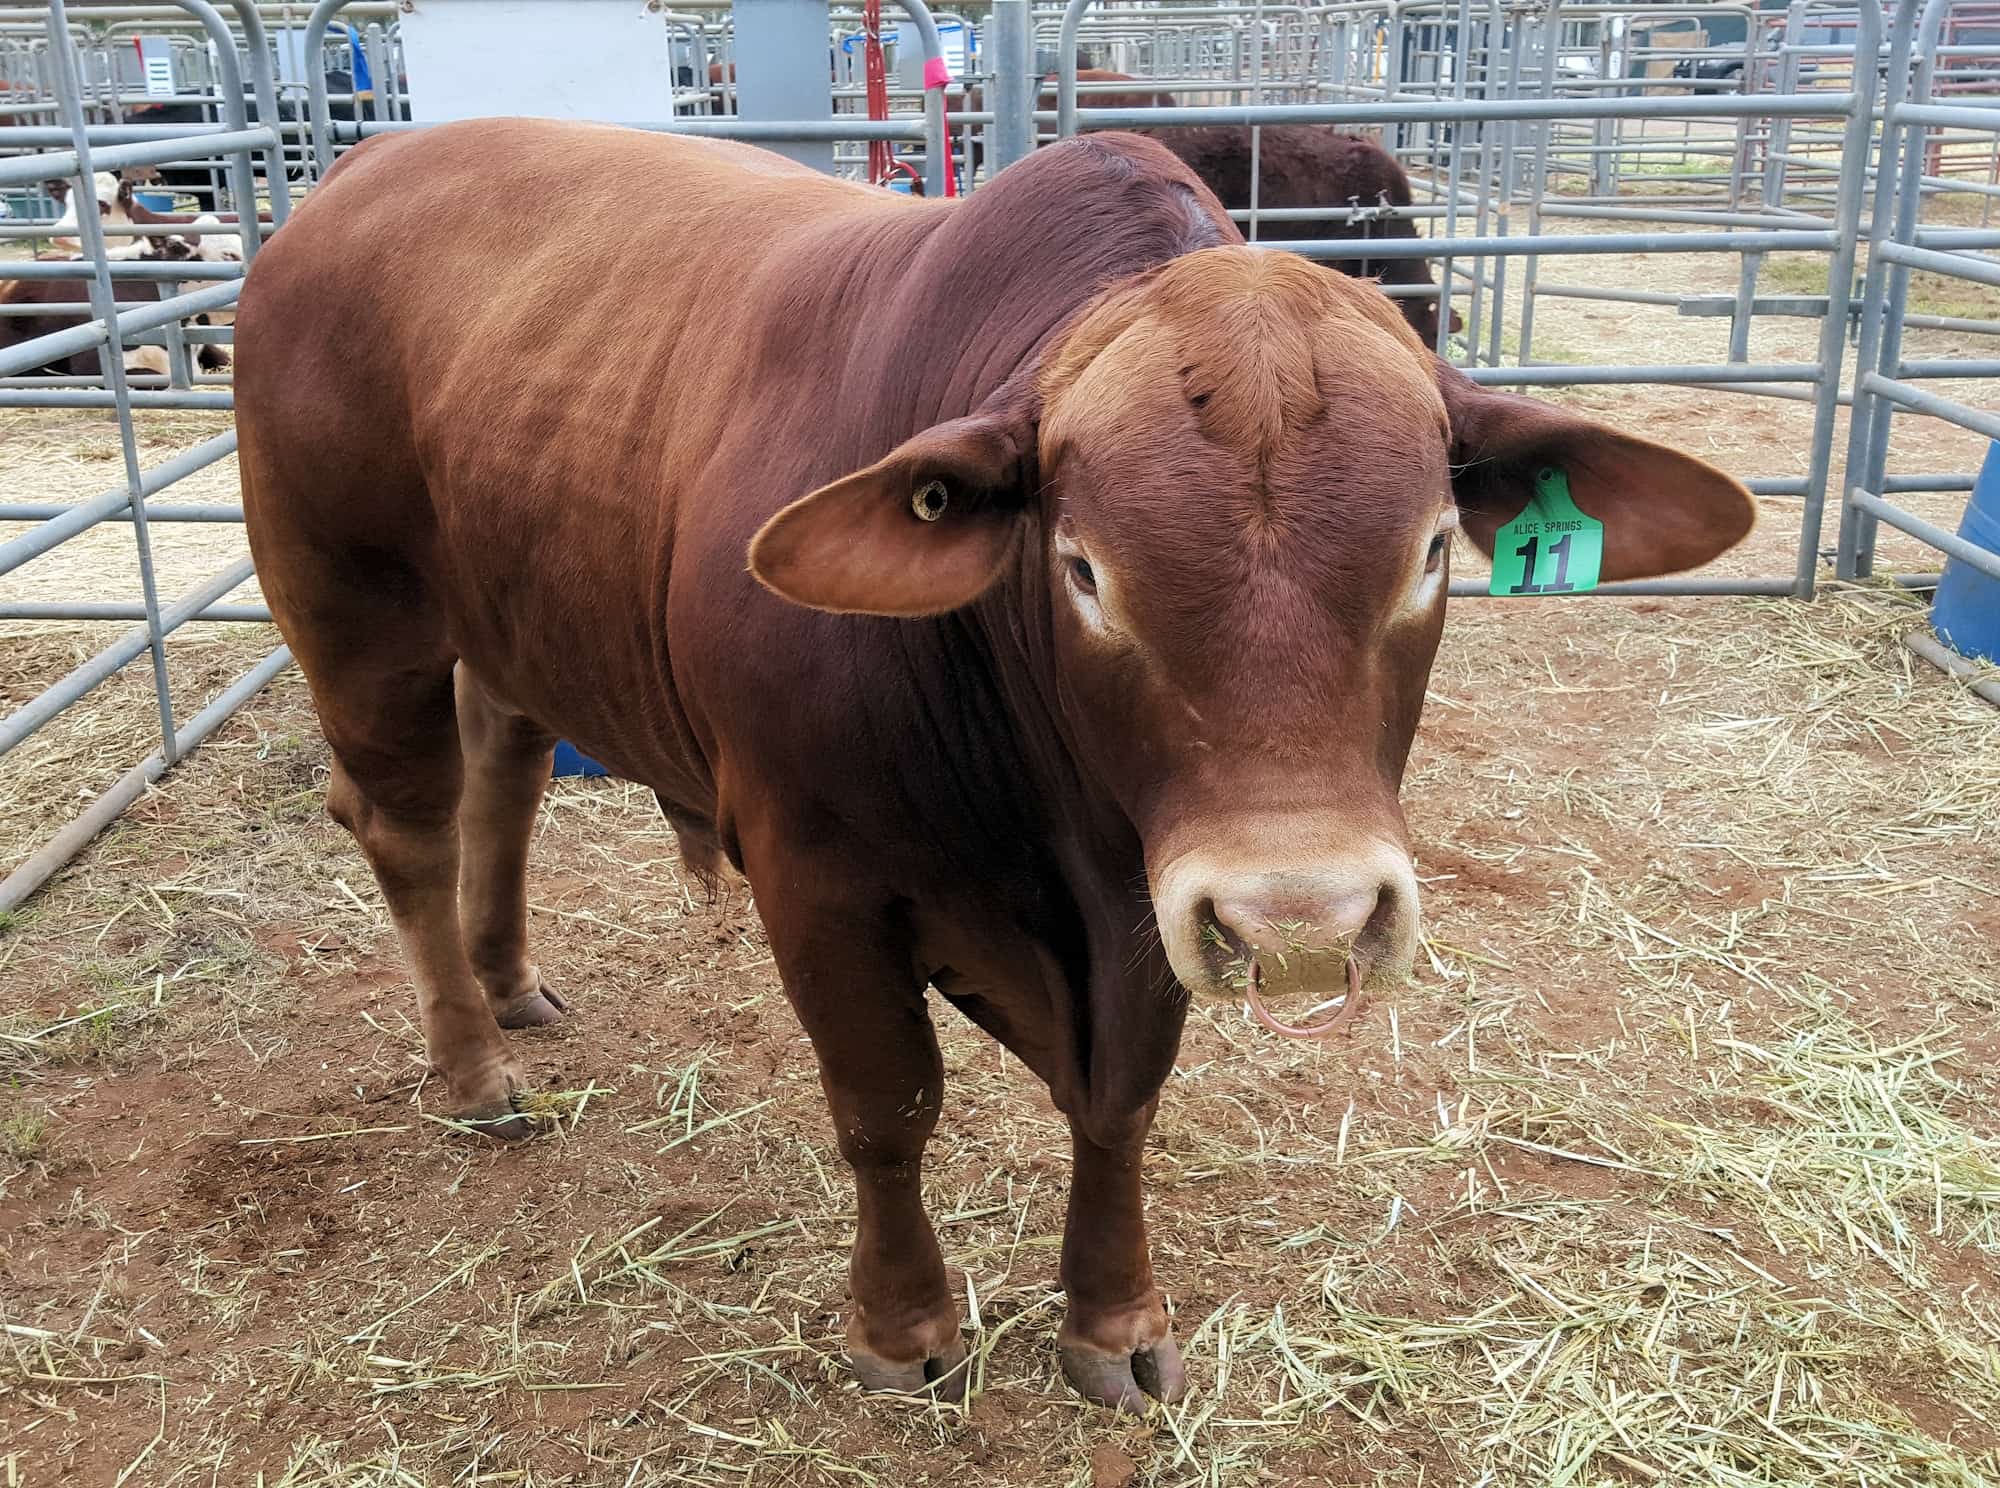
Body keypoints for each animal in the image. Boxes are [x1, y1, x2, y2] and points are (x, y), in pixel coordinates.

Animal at [234, 120, 1752, 1412]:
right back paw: (475, 1067)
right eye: (1081, 569)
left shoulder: (1141, 902)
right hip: (354, 609)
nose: (1302, 923)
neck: (1046, 844)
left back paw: (510, 982)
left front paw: (1114, 1319)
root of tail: (353, 176)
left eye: (1433, 549)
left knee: (504, 764)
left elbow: (1120, 1103)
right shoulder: (817, 881)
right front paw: (903, 1325)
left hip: (504, 612)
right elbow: (887, 1107)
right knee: (405, 823)